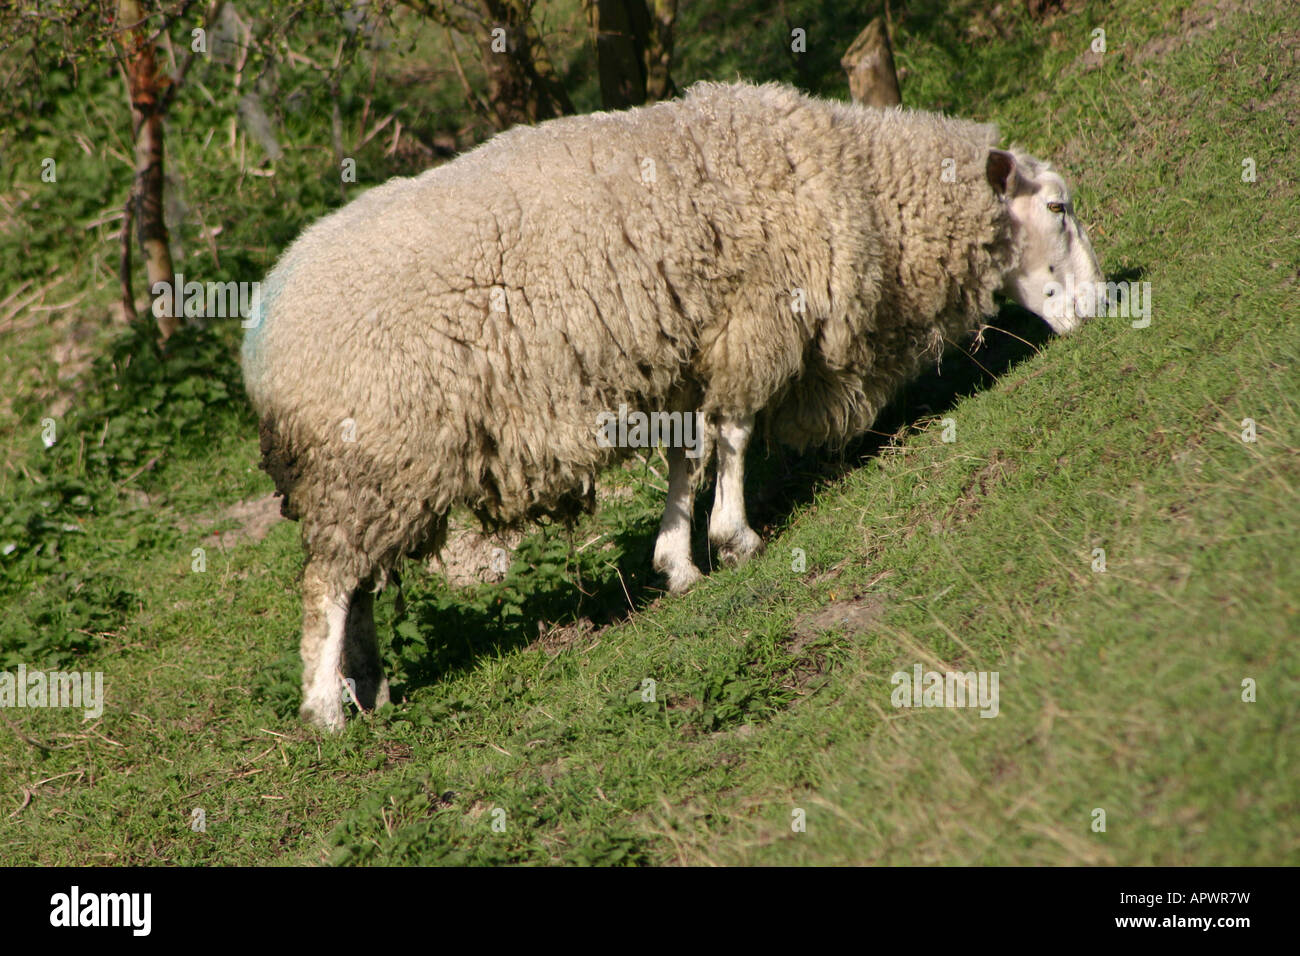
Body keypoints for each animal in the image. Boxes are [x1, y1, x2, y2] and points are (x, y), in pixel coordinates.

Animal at [241, 80, 1104, 731]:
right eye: (1058, 208)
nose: (1102, 308)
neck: (852, 182)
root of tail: (261, 337)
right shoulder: (755, 317)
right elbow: (735, 433)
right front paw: (736, 538)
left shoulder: (693, 345)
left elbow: (690, 454)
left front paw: (679, 562)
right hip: (370, 456)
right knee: (327, 588)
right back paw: (326, 714)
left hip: (368, 472)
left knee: (356, 586)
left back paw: (371, 689)